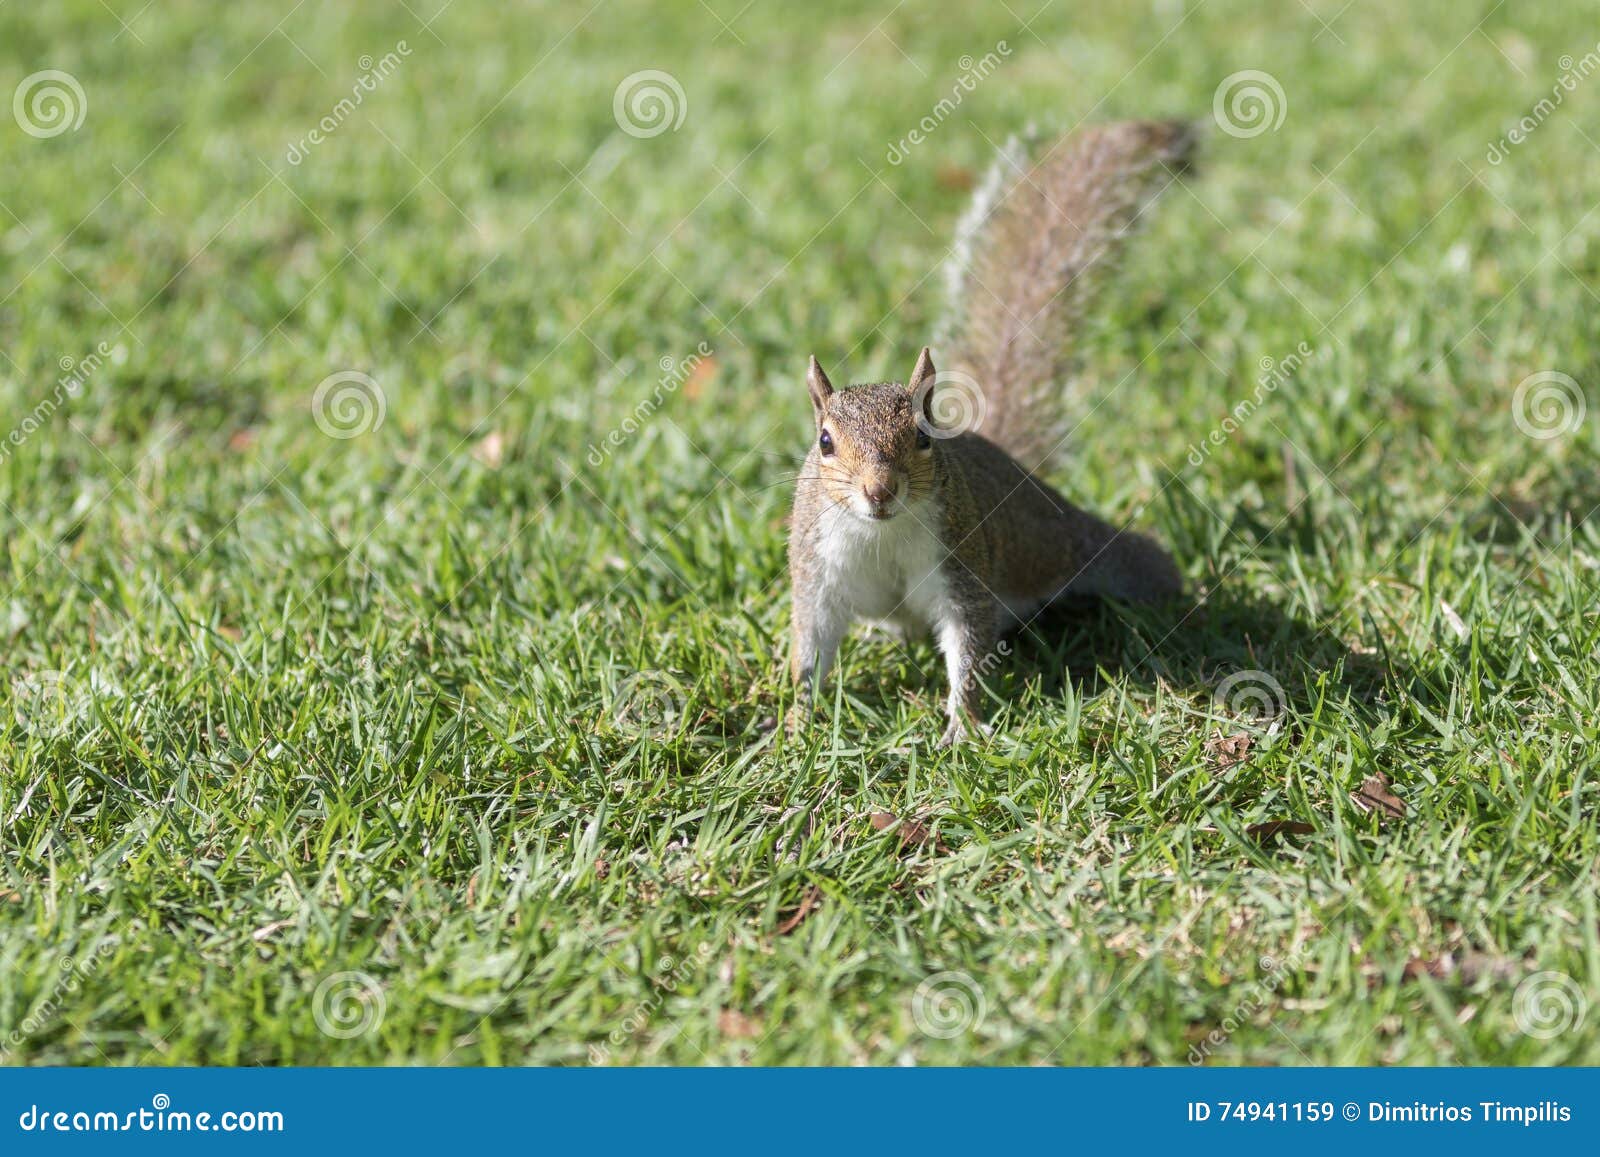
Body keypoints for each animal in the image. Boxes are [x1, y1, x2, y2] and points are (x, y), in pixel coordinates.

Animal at [787, 119, 1196, 746]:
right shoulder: (818, 574)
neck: (881, 532)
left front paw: (963, 723)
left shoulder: (962, 564)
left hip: (1072, 546)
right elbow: (810, 647)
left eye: (924, 437)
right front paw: (794, 722)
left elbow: (969, 640)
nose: (880, 491)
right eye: (825, 442)